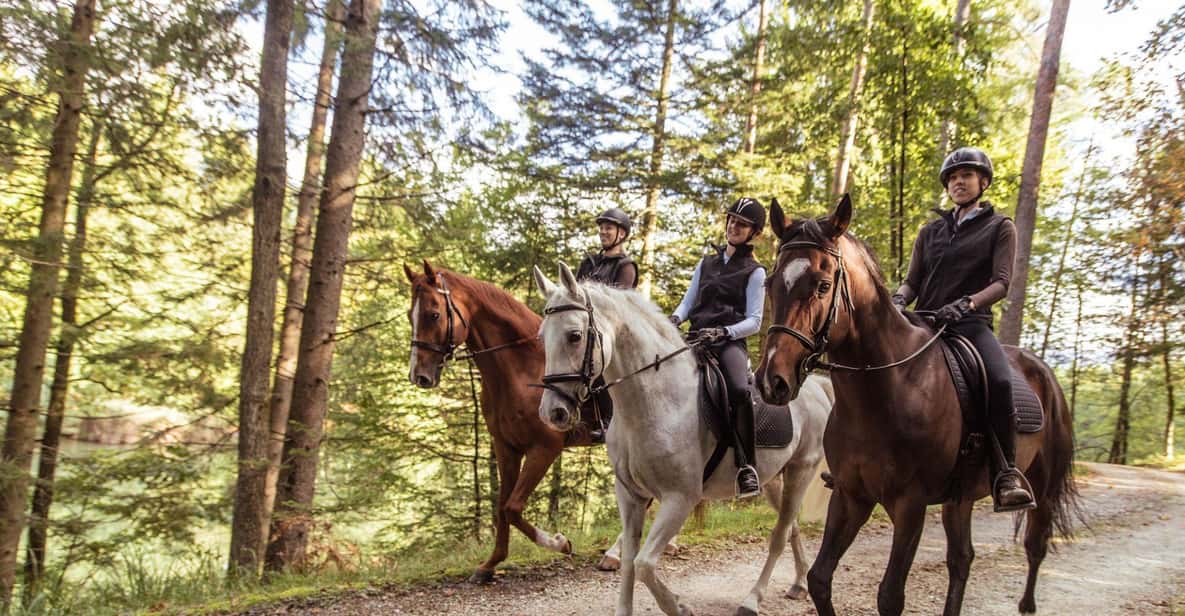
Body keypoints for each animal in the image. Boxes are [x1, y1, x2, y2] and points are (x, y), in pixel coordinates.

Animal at [533, 263, 834, 616]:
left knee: (779, 534)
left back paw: (752, 599)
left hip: (801, 470)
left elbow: (645, 564)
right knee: (792, 528)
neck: (654, 400)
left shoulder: (680, 498)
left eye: (574, 336)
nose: (552, 413)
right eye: (542, 337)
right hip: (774, 480)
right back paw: (798, 583)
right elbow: (630, 564)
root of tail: (815, 386)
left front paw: (679, 607)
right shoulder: (630, 495)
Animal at [754, 195, 1079, 616]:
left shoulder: (911, 504)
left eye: (823, 285)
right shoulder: (850, 495)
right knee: (962, 559)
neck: (887, 389)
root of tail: (1045, 374)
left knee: (1035, 546)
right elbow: (820, 579)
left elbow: (890, 595)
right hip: (960, 498)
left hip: (1042, 484)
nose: (772, 381)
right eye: (772, 283)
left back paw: (1026, 603)